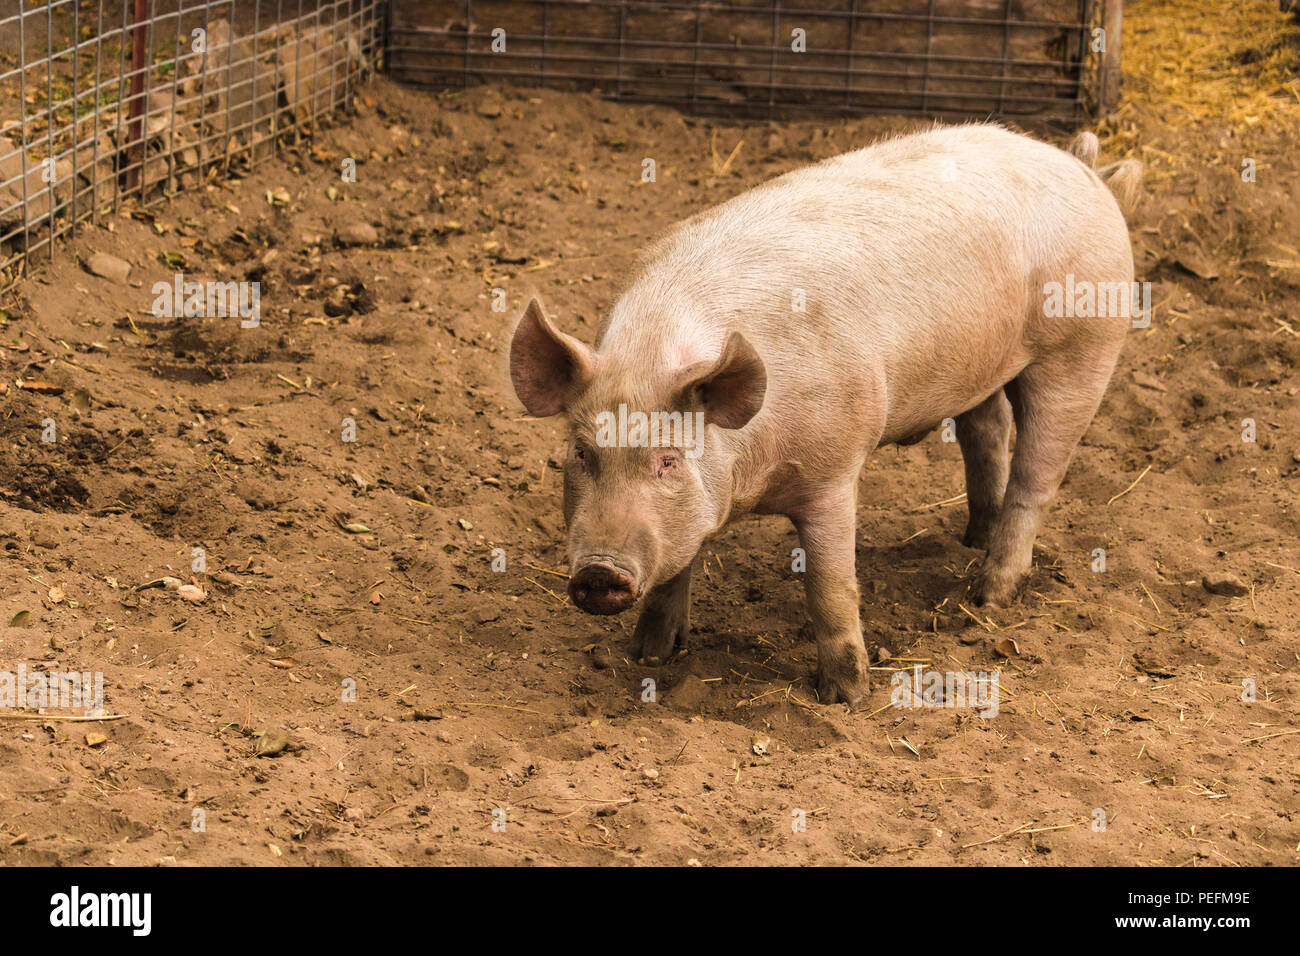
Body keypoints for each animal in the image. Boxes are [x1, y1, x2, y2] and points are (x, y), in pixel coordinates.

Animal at [509, 123, 1141, 705]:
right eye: (581, 453)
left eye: (668, 460)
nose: (599, 571)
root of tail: (1081, 167)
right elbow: (678, 564)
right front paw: (648, 655)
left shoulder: (834, 469)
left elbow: (829, 584)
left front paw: (847, 697)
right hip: (983, 364)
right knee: (986, 432)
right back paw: (972, 538)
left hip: (1085, 346)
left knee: (1038, 473)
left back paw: (986, 595)